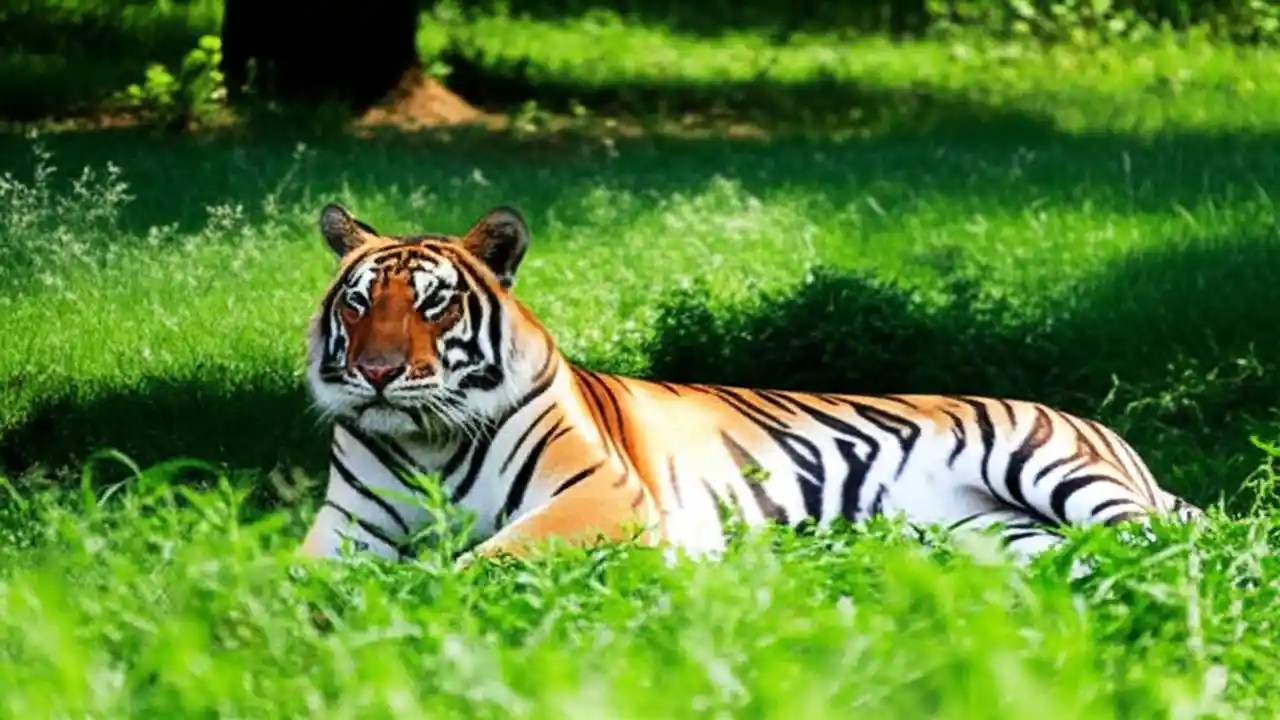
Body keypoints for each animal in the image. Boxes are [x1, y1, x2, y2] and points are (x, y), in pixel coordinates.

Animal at [298, 203, 1205, 567]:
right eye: (358, 302)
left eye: (434, 304)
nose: (377, 373)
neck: (429, 436)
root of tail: (1106, 430)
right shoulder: (348, 525)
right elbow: (296, 574)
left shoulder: (601, 496)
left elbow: (483, 557)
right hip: (998, 533)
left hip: (1052, 468)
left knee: (1177, 539)